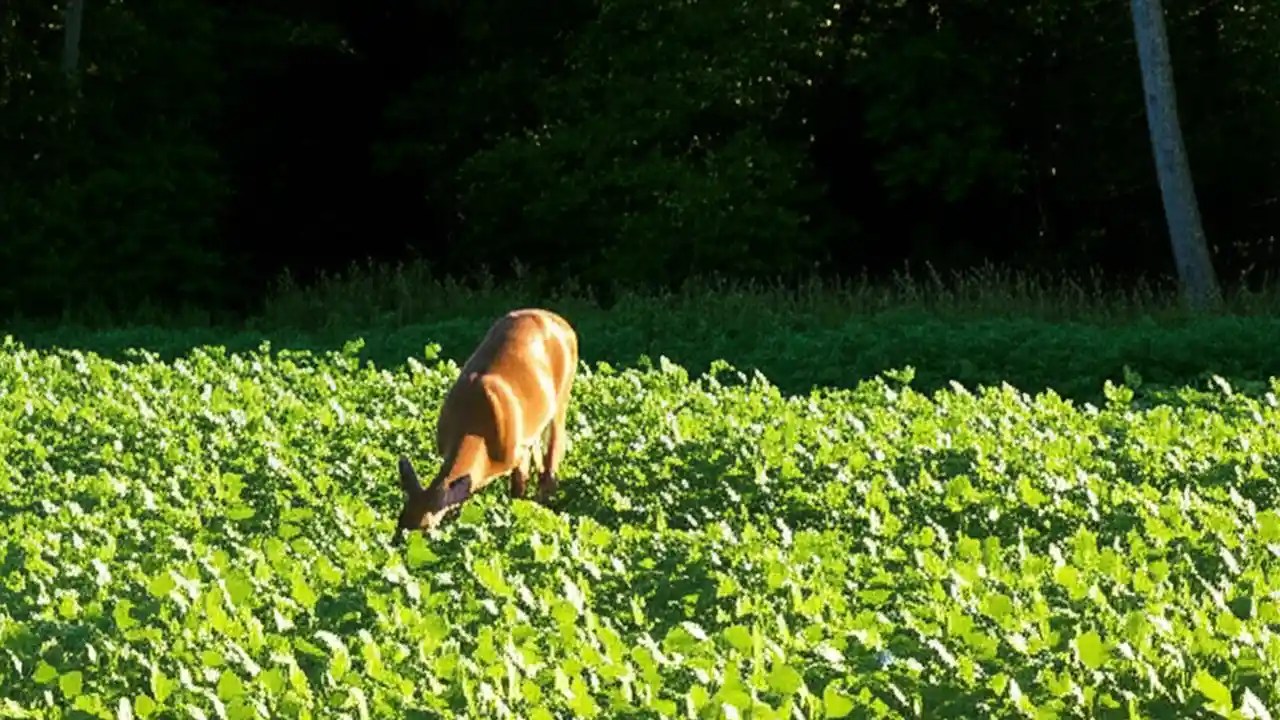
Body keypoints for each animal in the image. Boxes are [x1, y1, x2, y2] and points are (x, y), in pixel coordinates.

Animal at [393, 308, 578, 543]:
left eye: (425, 527)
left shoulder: (516, 453)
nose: (395, 544)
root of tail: (561, 321)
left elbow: (517, 493)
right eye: (400, 519)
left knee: (554, 450)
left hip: (563, 396)